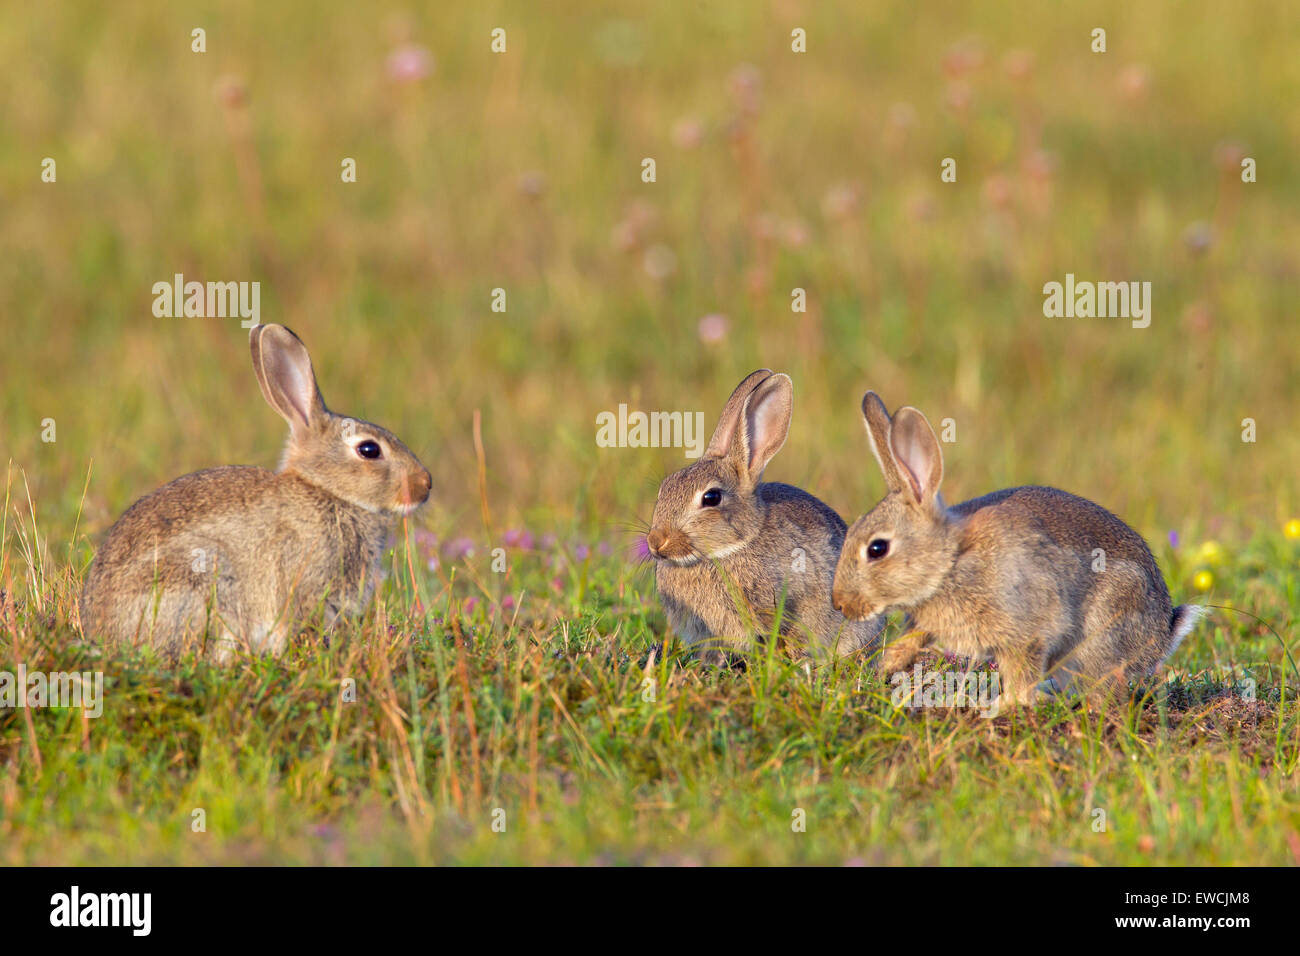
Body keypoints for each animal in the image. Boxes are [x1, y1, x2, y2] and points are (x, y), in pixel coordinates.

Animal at [831, 390, 1205, 704]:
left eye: (877, 549)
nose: (841, 604)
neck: (949, 563)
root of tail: (1162, 635)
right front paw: (884, 666)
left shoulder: (1028, 630)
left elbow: (1020, 678)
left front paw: (1002, 706)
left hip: (1101, 636)